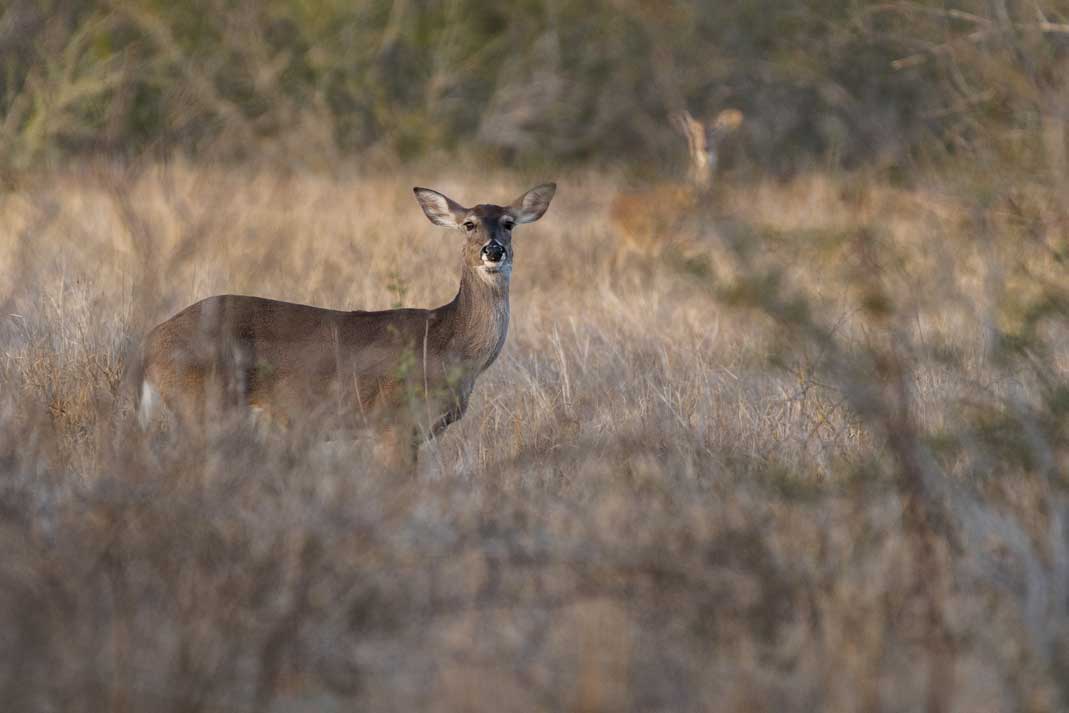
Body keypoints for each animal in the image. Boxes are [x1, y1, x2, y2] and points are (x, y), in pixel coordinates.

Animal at [134, 183, 557, 471]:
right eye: (468, 224)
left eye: (508, 223)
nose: (493, 250)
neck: (448, 343)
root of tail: (150, 343)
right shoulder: (394, 420)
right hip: (203, 404)